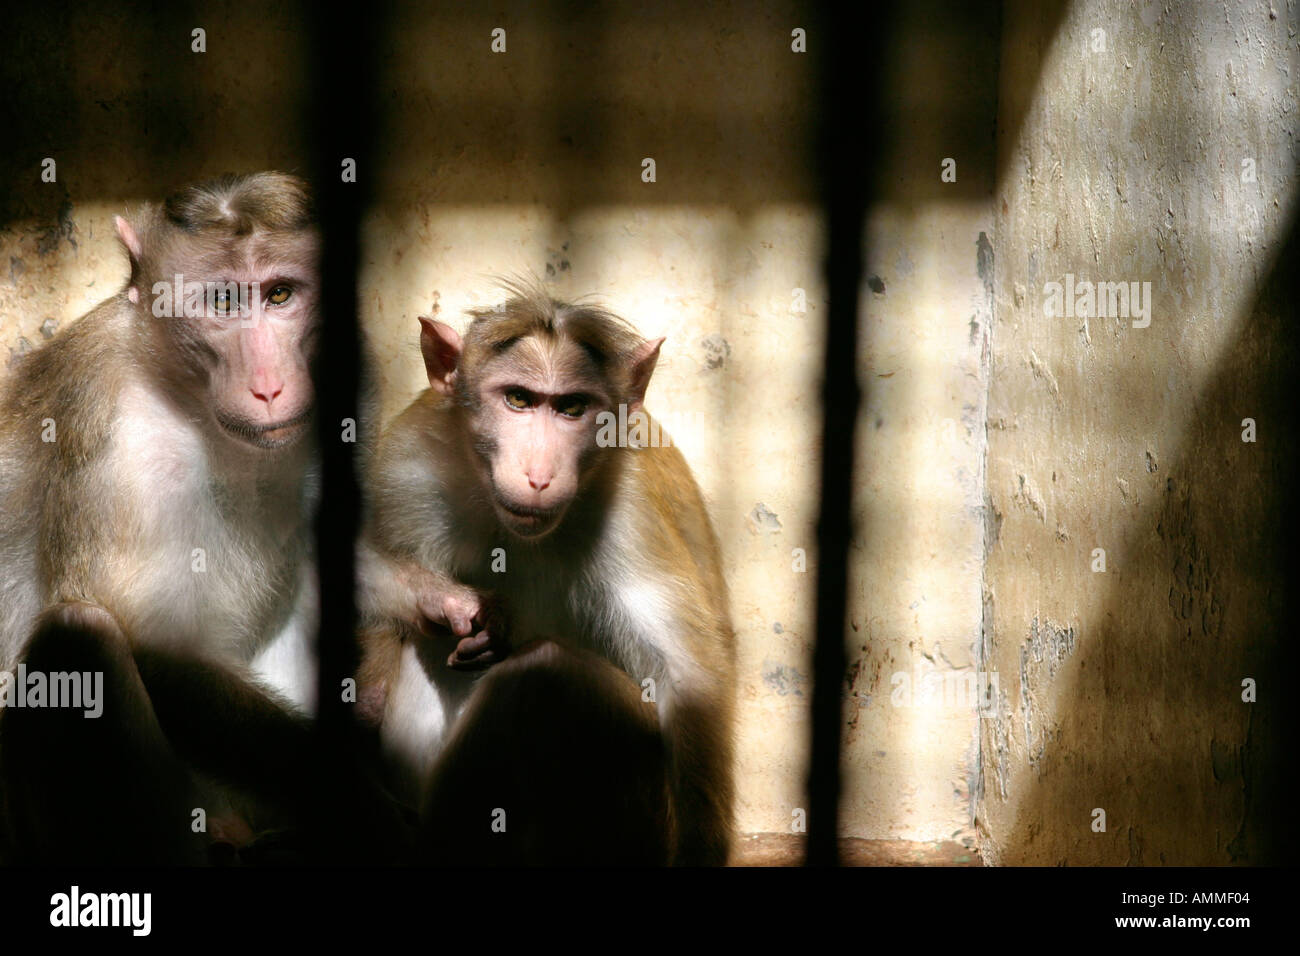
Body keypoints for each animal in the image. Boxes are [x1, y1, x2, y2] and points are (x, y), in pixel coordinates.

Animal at [0, 172, 403, 864]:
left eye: (280, 294)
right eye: (222, 300)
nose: (269, 384)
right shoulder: (110, 433)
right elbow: (153, 647)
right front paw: (361, 804)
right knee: (77, 640)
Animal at [357, 281, 736, 865]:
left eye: (572, 407)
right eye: (518, 399)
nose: (538, 474)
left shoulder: (630, 508)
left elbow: (685, 676)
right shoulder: (407, 468)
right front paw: (451, 605)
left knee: (548, 672)